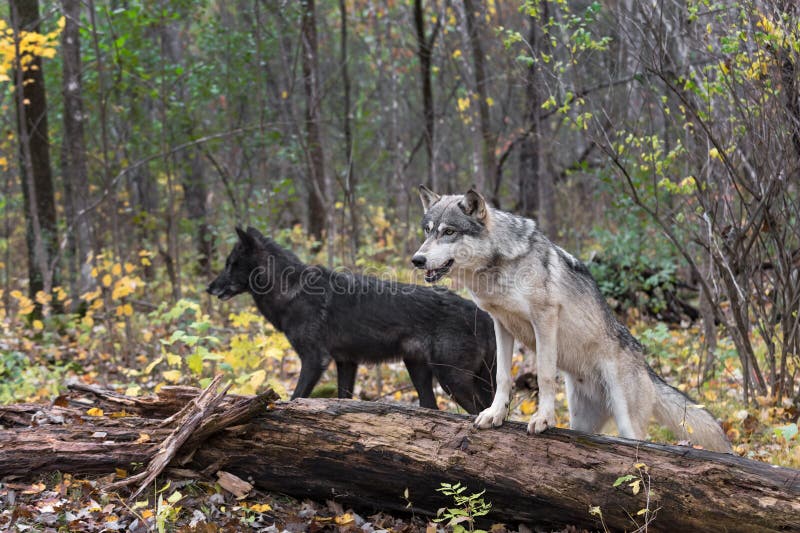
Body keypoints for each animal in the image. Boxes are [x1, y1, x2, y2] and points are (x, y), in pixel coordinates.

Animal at [207, 226, 496, 414]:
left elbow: (296, 396)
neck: (292, 290)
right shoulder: (346, 363)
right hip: (422, 372)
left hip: (452, 381)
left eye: (231, 264)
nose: (209, 288)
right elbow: (341, 398)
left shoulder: (315, 360)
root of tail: (480, 313)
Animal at [411, 187, 732, 453]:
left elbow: (543, 374)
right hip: (581, 421)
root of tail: (646, 365)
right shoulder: (501, 325)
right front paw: (496, 414)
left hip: (627, 422)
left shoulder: (544, 319)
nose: (417, 260)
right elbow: (503, 376)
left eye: (449, 231)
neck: (498, 267)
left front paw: (543, 418)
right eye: (427, 231)